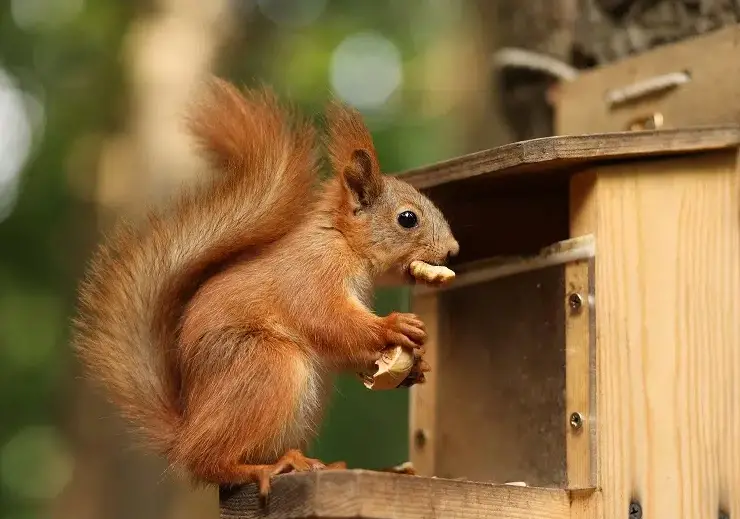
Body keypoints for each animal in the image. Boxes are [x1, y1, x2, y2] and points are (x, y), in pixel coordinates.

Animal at [72, 77, 459, 497]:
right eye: (408, 219)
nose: (453, 250)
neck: (341, 240)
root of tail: (186, 431)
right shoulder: (312, 275)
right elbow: (328, 320)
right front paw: (392, 326)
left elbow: (344, 349)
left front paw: (415, 367)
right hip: (267, 367)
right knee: (210, 461)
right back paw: (270, 467)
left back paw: (323, 464)